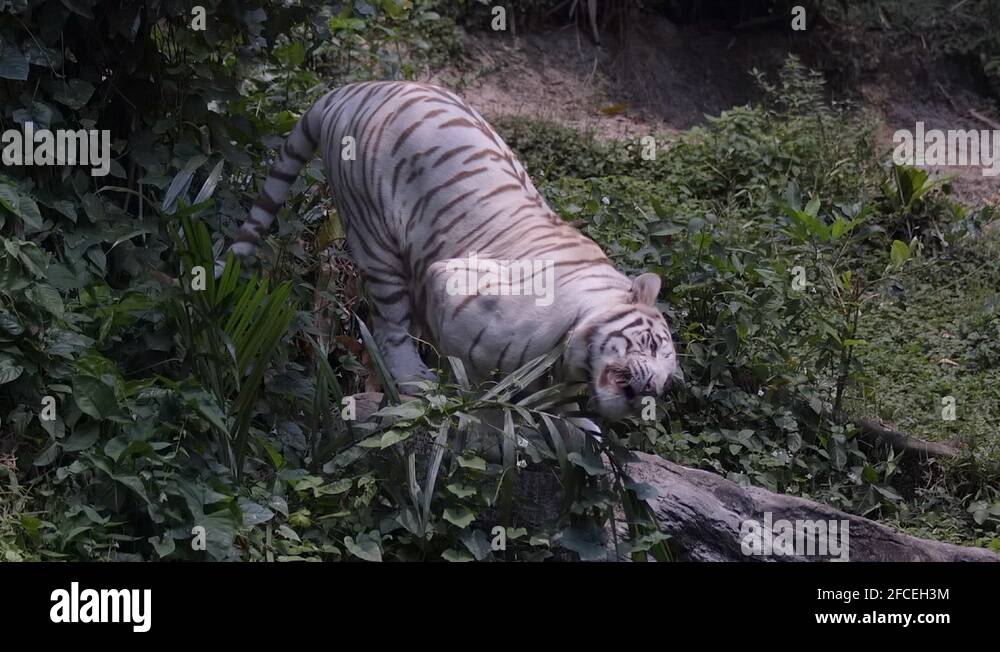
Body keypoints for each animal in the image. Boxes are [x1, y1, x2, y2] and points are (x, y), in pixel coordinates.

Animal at [222, 80, 680, 420]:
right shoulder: (454, 283)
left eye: (667, 384)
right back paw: (413, 381)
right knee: (390, 329)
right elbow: (468, 364)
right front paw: (472, 399)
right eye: (651, 346)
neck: (570, 356)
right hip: (375, 236)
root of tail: (350, 89)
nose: (651, 390)